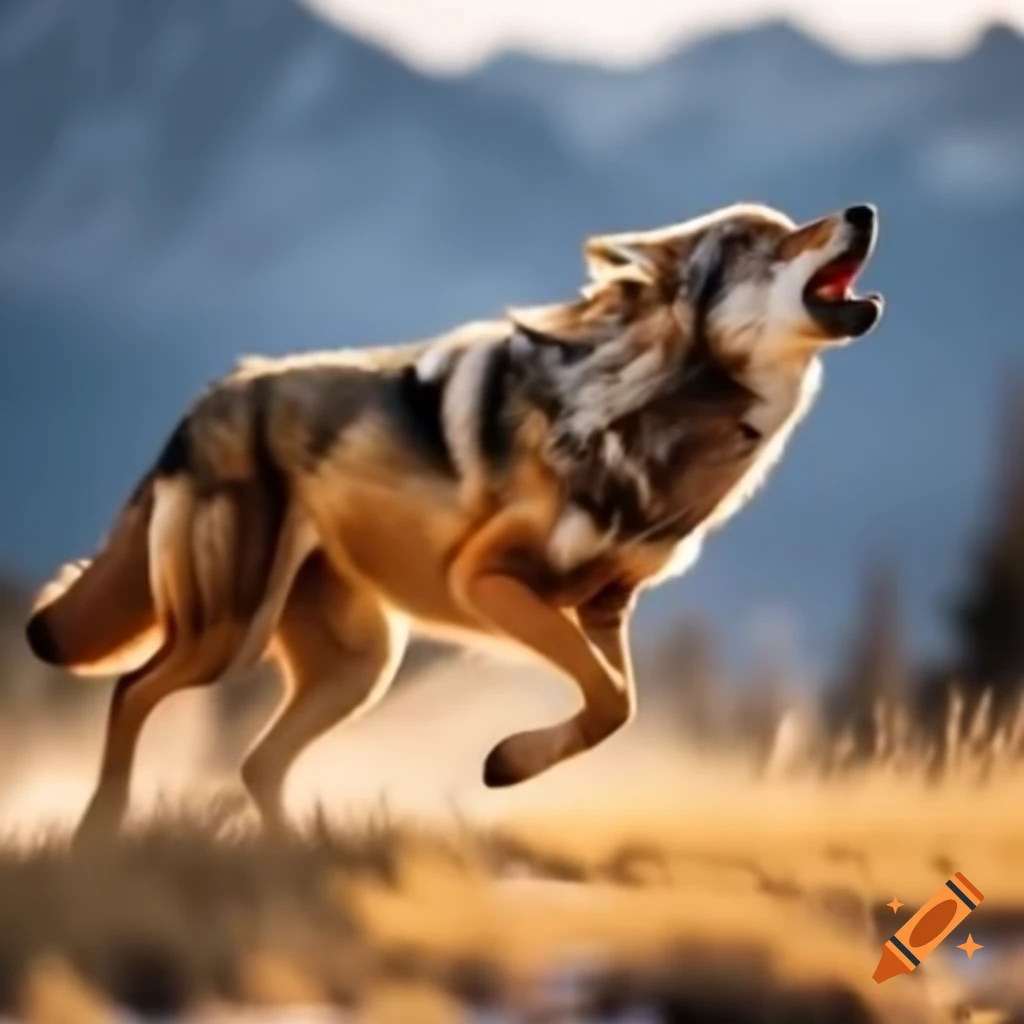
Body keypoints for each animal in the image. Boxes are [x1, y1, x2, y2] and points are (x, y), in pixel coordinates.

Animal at [25, 201, 883, 841]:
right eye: (764, 244)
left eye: (793, 226)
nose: (863, 211)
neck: (651, 412)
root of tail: (210, 395)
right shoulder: (486, 579)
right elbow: (608, 698)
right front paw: (508, 761)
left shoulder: (607, 608)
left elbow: (619, 703)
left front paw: (512, 762)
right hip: (228, 638)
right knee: (133, 688)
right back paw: (100, 829)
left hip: (362, 666)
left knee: (255, 764)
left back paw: (293, 854)